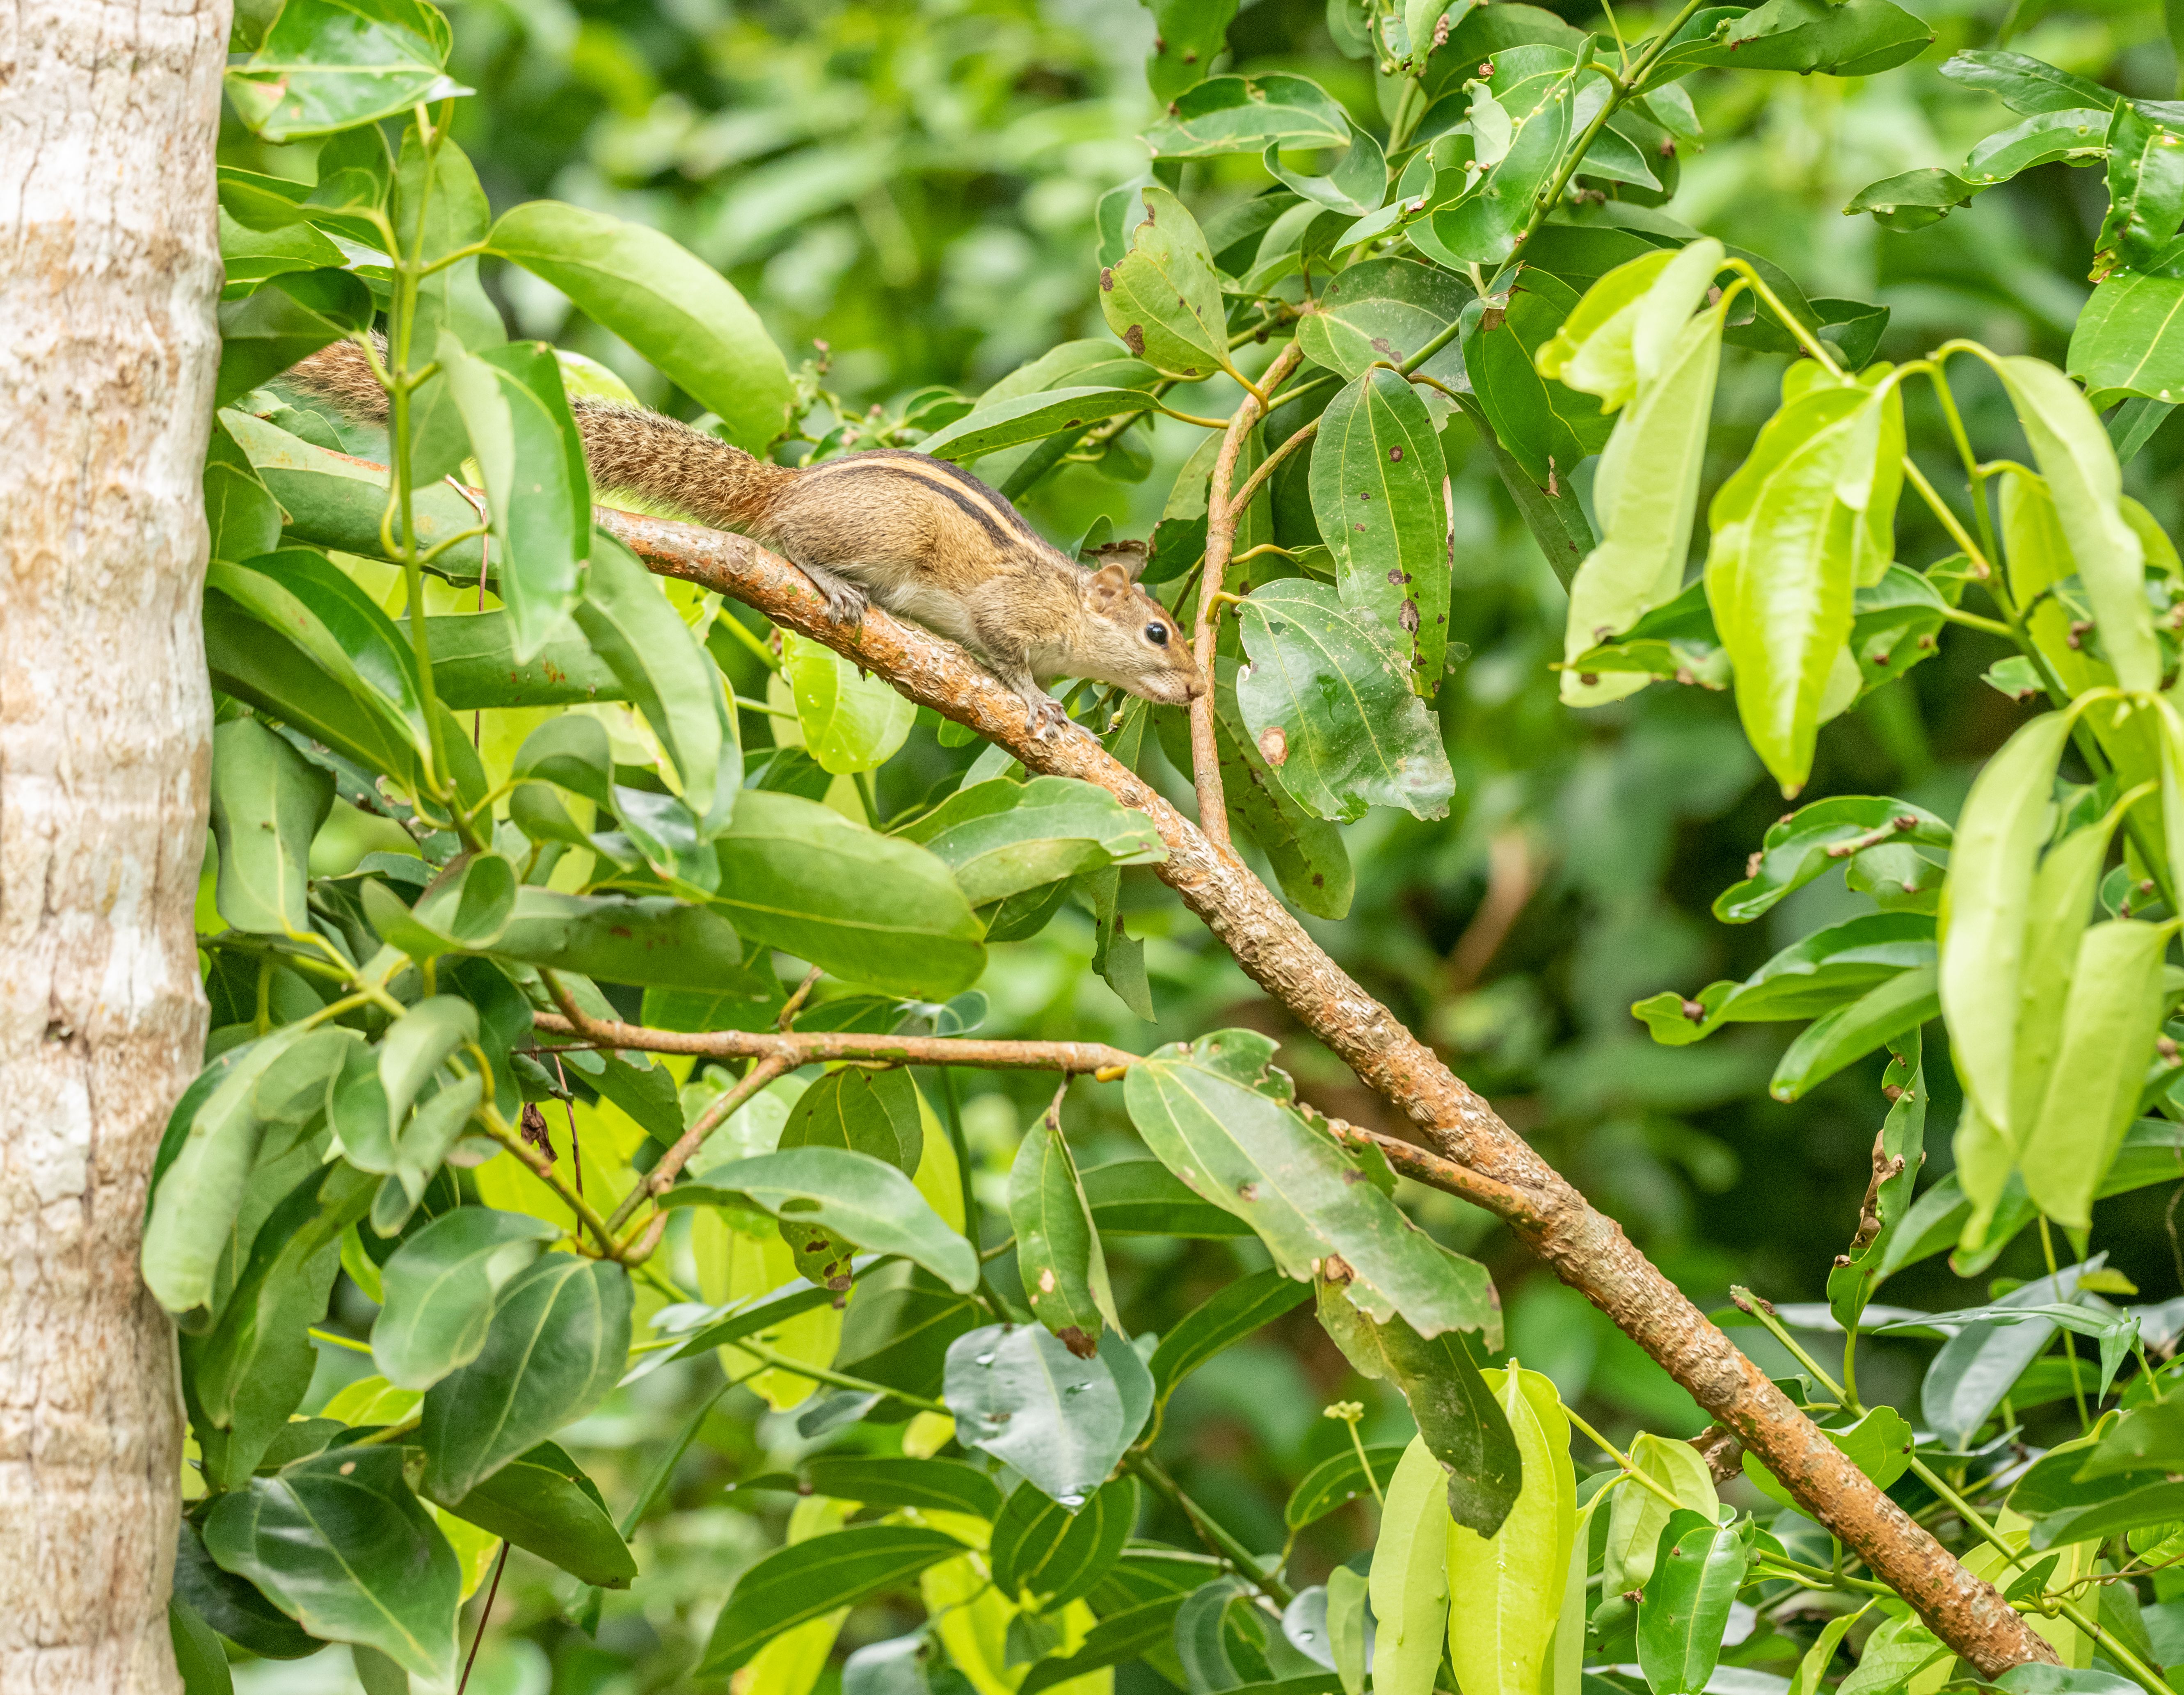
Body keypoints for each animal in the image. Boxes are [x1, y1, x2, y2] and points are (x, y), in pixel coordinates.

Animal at [284, 339, 1206, 733]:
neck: (1071, 606)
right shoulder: (1008, 612)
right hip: (876, 538)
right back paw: (826, 578)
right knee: (789, 538)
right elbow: (1004, 655)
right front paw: (1040, 702)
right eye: (1158, 632)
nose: (1199, 691)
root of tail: (787, 483)